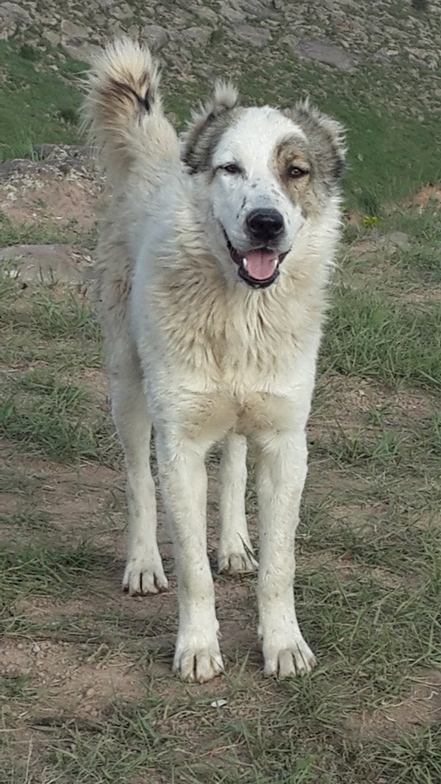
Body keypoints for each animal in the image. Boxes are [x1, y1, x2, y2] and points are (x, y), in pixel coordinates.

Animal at [81, 39, 344, 684]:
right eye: (230, 169)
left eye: (295, 171)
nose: (265, 223)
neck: (240, 315)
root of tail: (160, 161)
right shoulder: (179, 444)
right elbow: (192, 572)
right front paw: (198, 647)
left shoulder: (285, 442)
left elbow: (280, 564)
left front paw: (284, 644)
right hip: (129, 388)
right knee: (136, 481)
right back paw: (144, 563)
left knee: (235, 464)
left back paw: (233, 545)